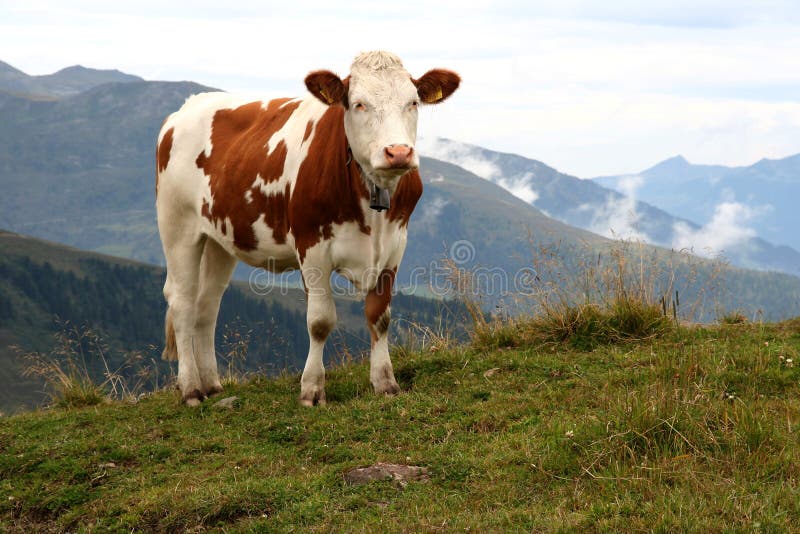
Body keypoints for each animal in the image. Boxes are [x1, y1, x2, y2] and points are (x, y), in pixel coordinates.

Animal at [155, 51, 460, 406]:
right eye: (358, 104)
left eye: (412, 102)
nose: (398, 152)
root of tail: (186, 107)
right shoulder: (312, 247)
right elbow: (320, 322)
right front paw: (312, 389)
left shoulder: (395, 246)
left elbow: (380, 316)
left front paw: (385, 382)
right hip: (177, 225)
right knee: (182, 302)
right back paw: (191, 388)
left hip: (220, 239)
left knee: (207, 305)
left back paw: (212, 385)